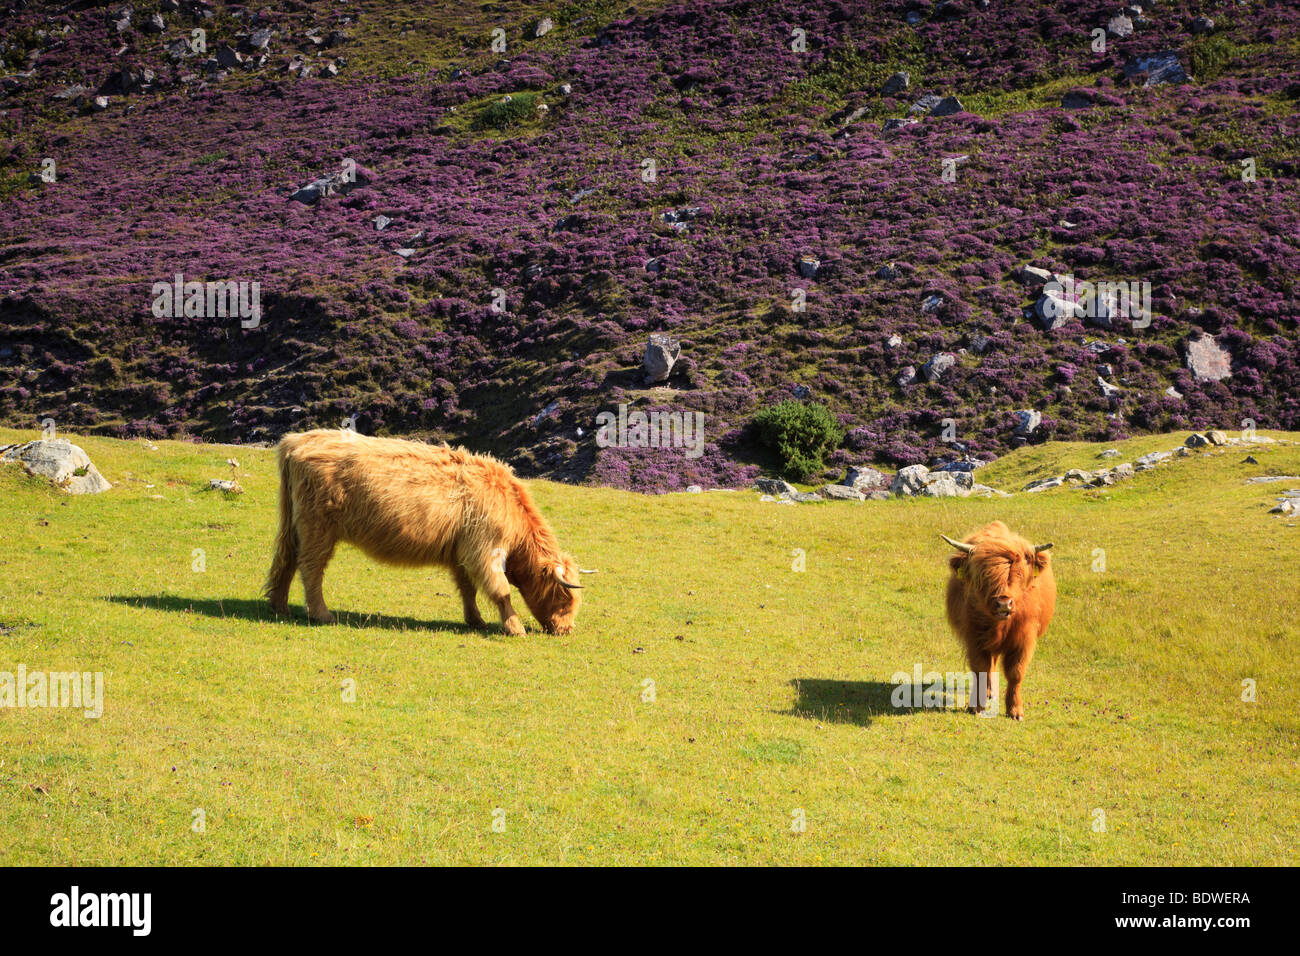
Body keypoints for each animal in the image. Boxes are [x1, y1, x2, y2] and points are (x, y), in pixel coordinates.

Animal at [265, 430, 585, 635]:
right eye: (564, 596)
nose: (566, 630)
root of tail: (295, 441)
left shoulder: (461, 553)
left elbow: (467, 588)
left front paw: (476, 620)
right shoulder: (485, 549)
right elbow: (501, 590)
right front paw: (515, 628)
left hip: (294, 524)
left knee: (285, 560)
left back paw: (279, 606)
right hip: (317, 528)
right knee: (311, 567)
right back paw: (321, 614)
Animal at [940, 521, 1055, 720]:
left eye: (1019, 574)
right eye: (984, 575)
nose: (1003, 603)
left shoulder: (1024, 638)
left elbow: (1016, 673)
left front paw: (1015, 711)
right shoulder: (974, 637)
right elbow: (980, 669)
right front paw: (977, 707)